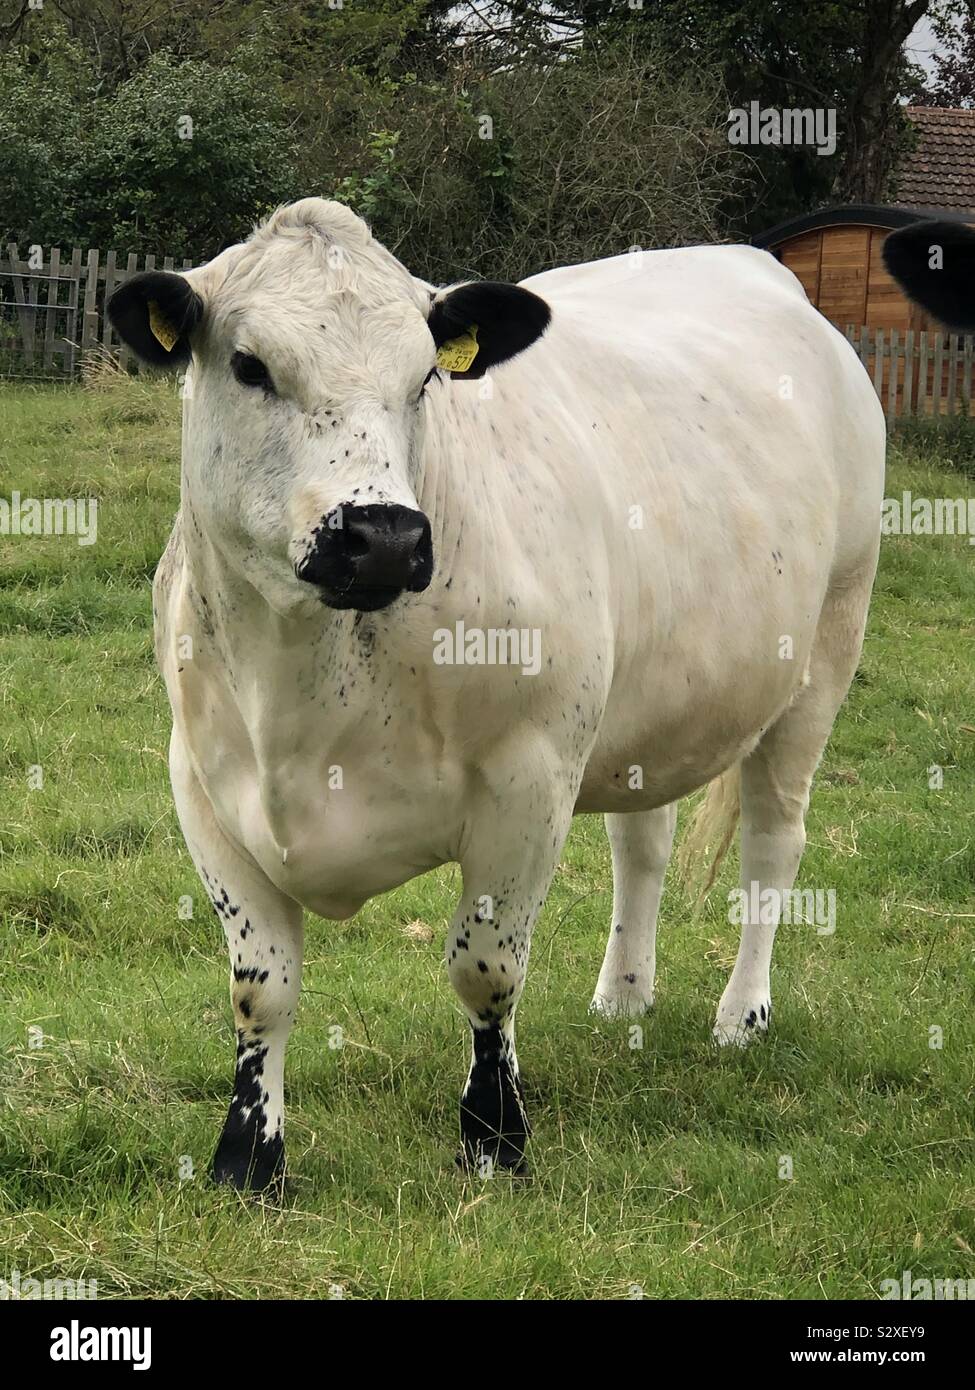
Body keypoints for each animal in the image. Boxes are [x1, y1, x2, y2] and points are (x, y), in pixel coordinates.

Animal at [108, 198, 885, 1191]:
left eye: (423, 380)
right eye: (250, 366)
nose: (384, 537)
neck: (304, 685)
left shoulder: (529, 778)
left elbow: (484, 971)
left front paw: (494, 1136)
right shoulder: (203, 786)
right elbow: (261, 989)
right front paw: (248, 1158)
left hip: (822, 656)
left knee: (772, 843)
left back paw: (740, 1013)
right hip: (650, 705)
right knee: (642, 844)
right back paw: (623, 994)